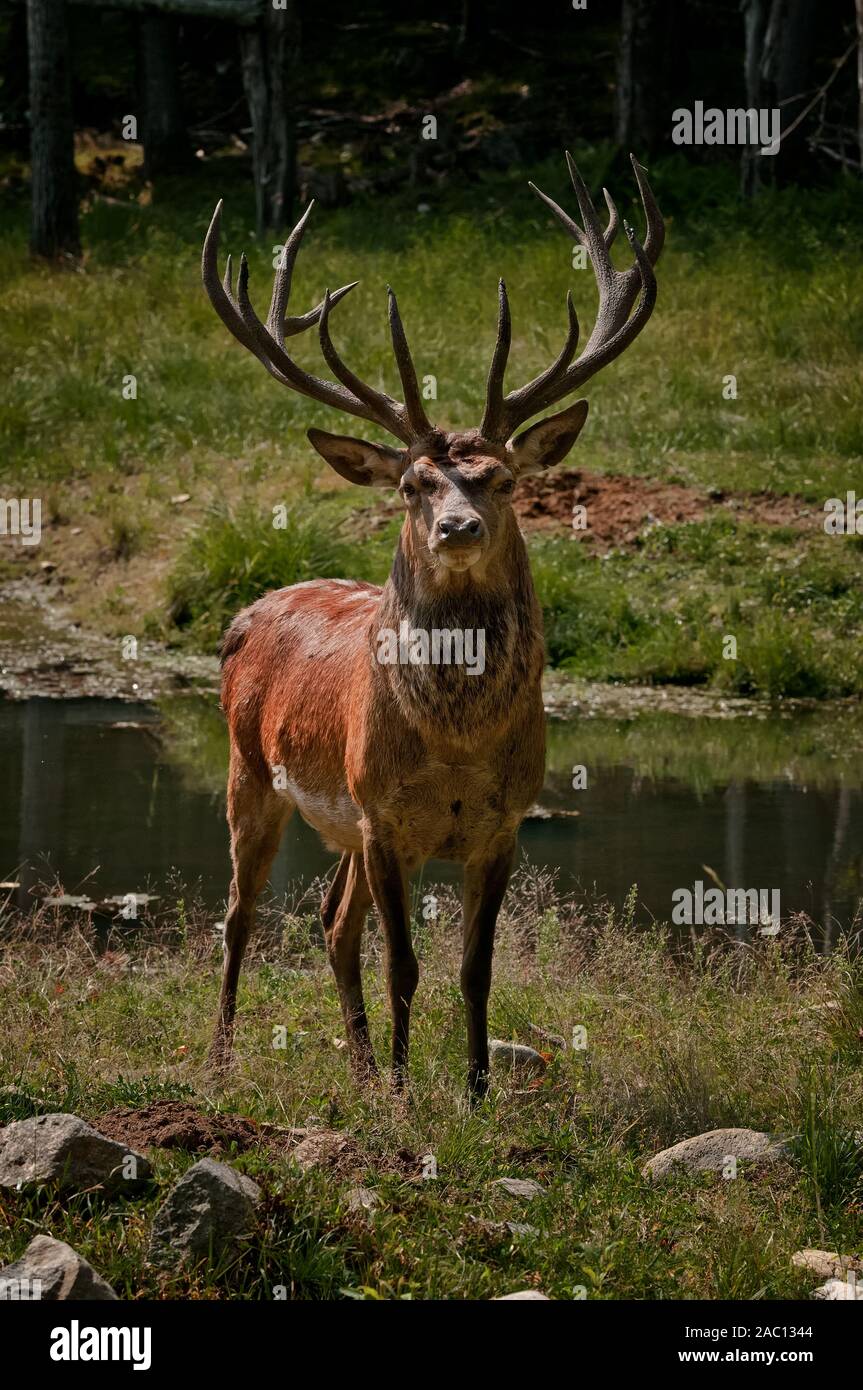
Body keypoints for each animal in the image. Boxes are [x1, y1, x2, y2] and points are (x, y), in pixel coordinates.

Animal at [201, 152, 664, 1097]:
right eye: (416, 483)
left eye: (500, 478)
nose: (458, 527)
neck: (455, 751)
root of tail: (248, 611)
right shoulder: (385, 818)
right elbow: (404, 965)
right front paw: (410, 1097)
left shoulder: (504, 823)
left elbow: (474, 968)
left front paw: (474, 1090)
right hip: (249, 772)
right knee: (238, 915)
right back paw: (225, 1060)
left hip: (335, 820)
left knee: (331, 921)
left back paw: (358, 1067)